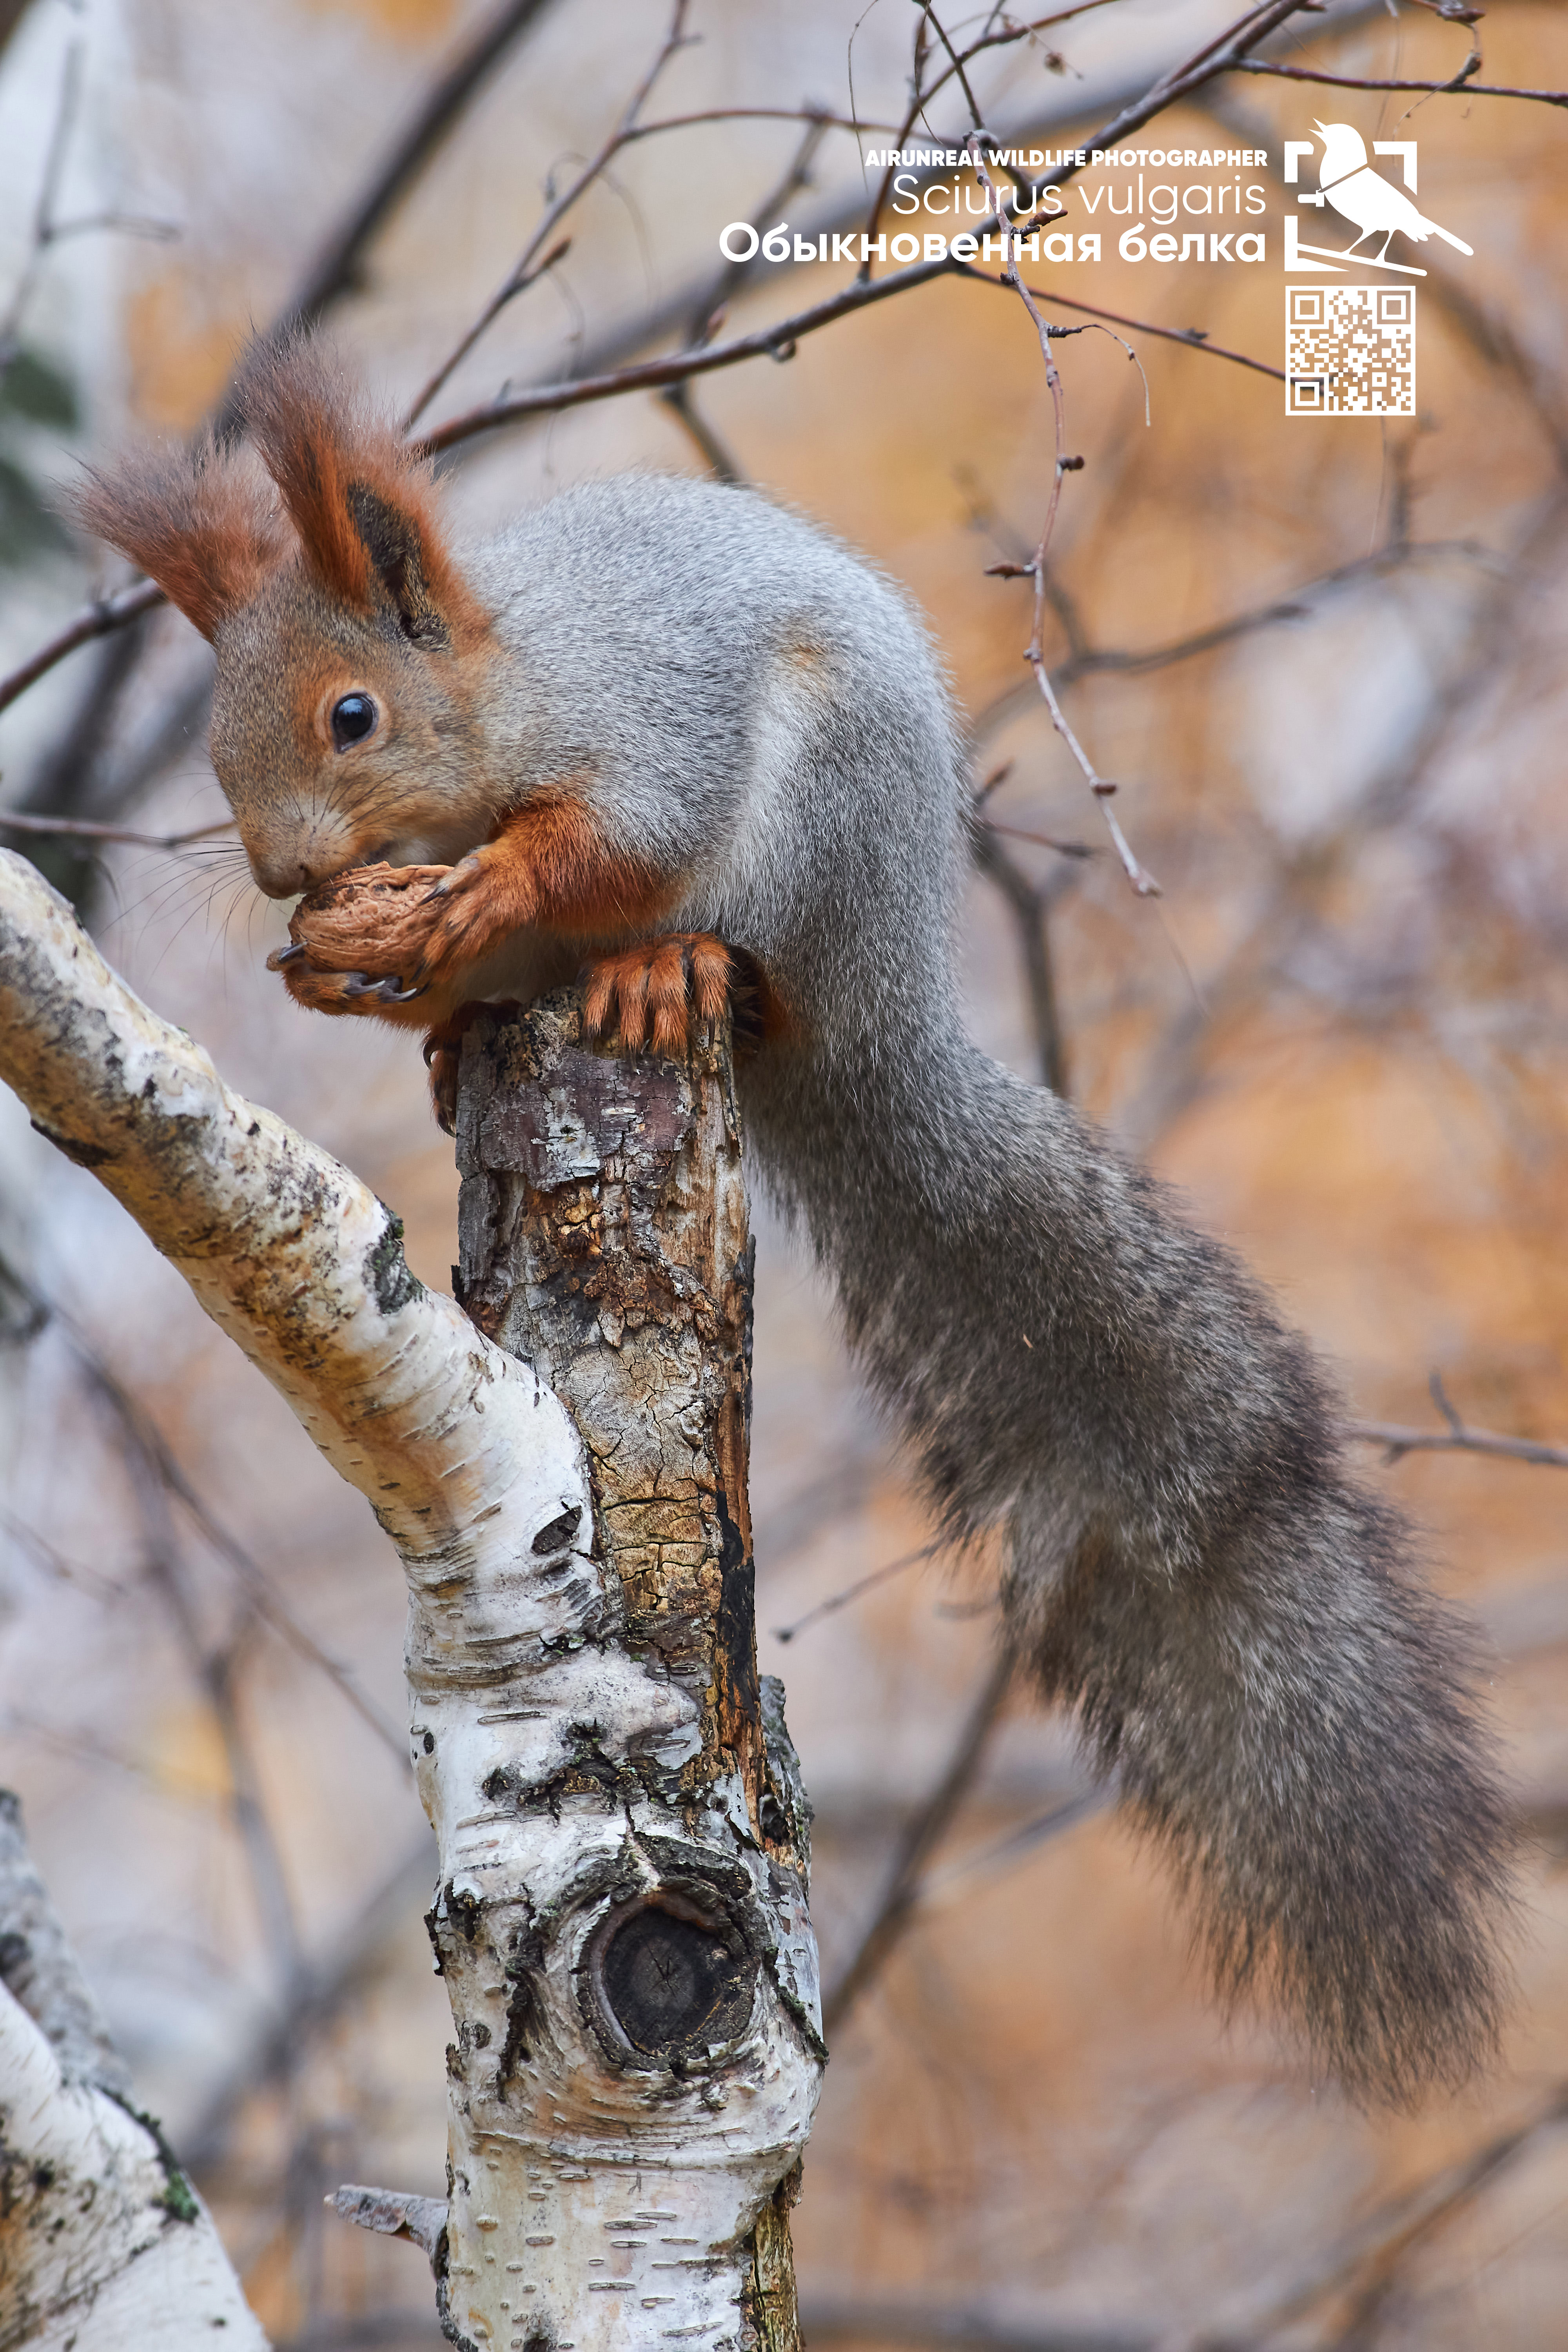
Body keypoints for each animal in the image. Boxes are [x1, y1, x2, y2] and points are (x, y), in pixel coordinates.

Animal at [76, 336, 1523, 2117]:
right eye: (220, 748)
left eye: (352, 717)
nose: (283, 873)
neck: (500, 701)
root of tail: (885, 1006)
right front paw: (337, 965)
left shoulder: (651, 723)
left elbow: (608, 835)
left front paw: (488, 889)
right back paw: (446, 1032)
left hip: (806, 841)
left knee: (721, 950)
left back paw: (659, 966)